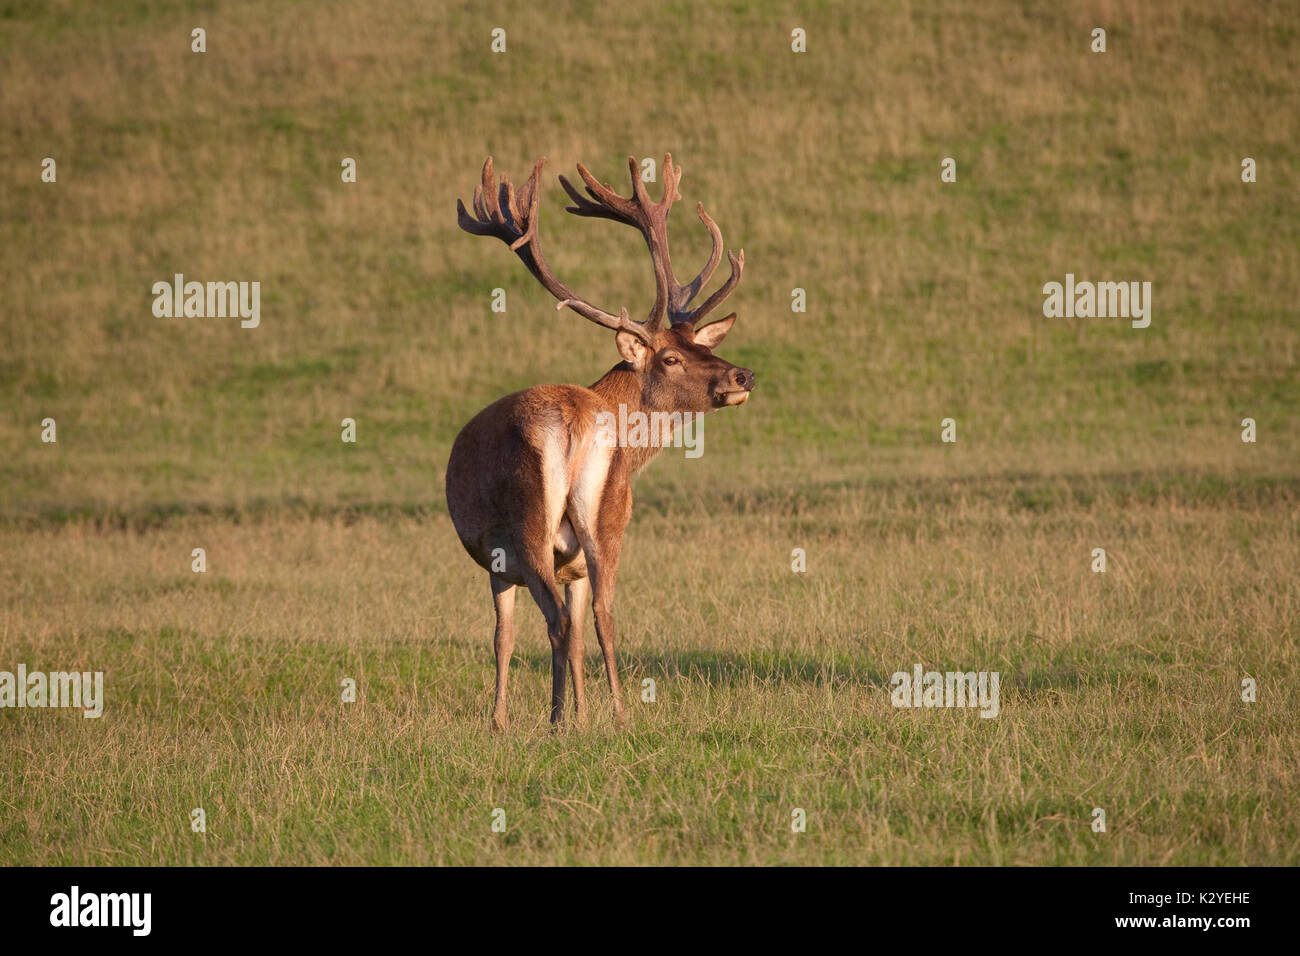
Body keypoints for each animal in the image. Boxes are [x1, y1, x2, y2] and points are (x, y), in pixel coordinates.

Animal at [446, 153, 754, 730]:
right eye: (672, 357)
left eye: (701, 347)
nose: (742, 374)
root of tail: (573, 421)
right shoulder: (571, 562)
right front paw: (579, 712)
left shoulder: (499, 560)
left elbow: (504, 638)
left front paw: (500, 722)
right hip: (604, 518)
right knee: (602, 615)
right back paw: (612, 715)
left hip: (530, 524)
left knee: (557, 622)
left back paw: (559, 721)